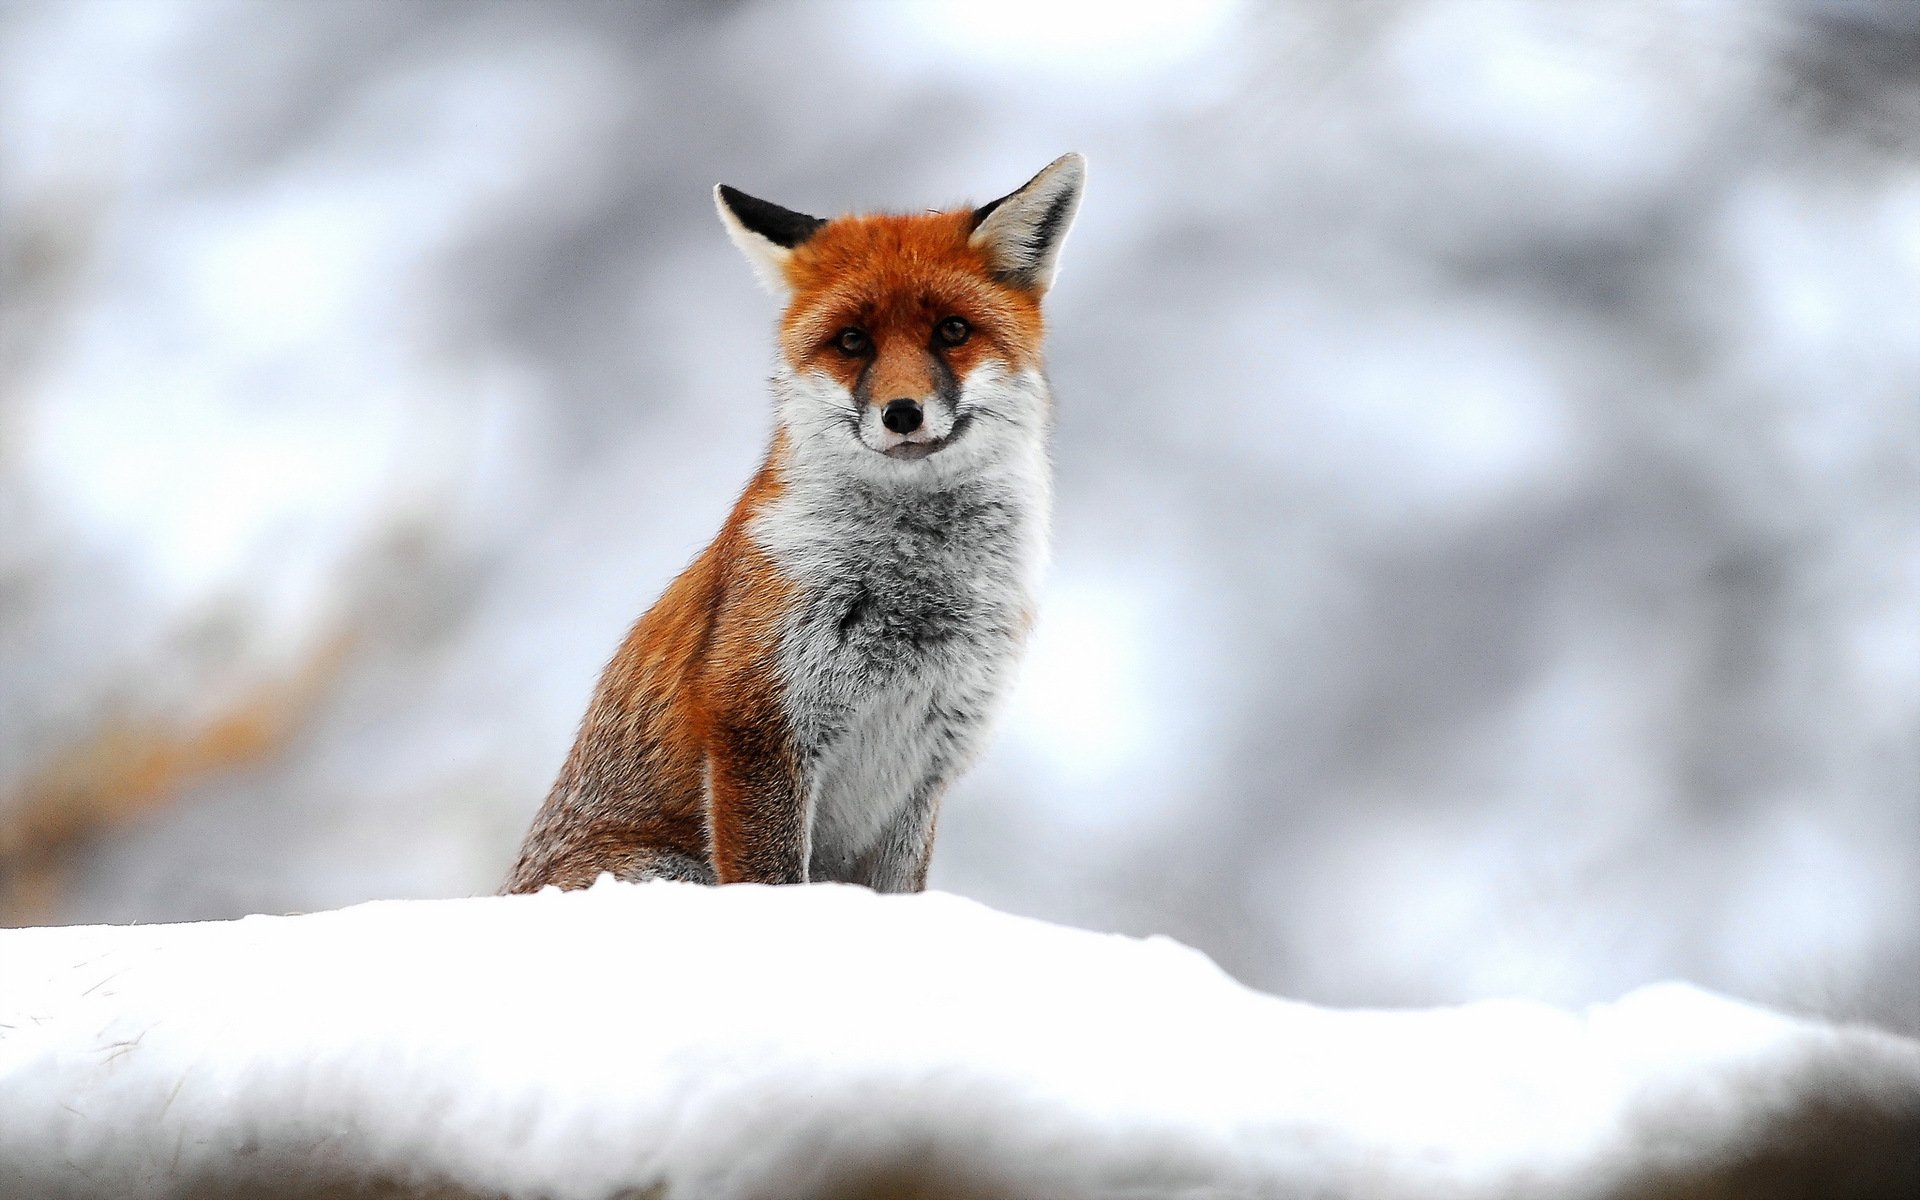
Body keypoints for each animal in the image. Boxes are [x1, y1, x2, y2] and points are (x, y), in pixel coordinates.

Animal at [503, 154, 1085, 894]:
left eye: (952, 331)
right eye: (852, 341)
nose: (902, 412)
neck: (916, 592)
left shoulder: (926, 766)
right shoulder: (759, 725)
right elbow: (774, 880)